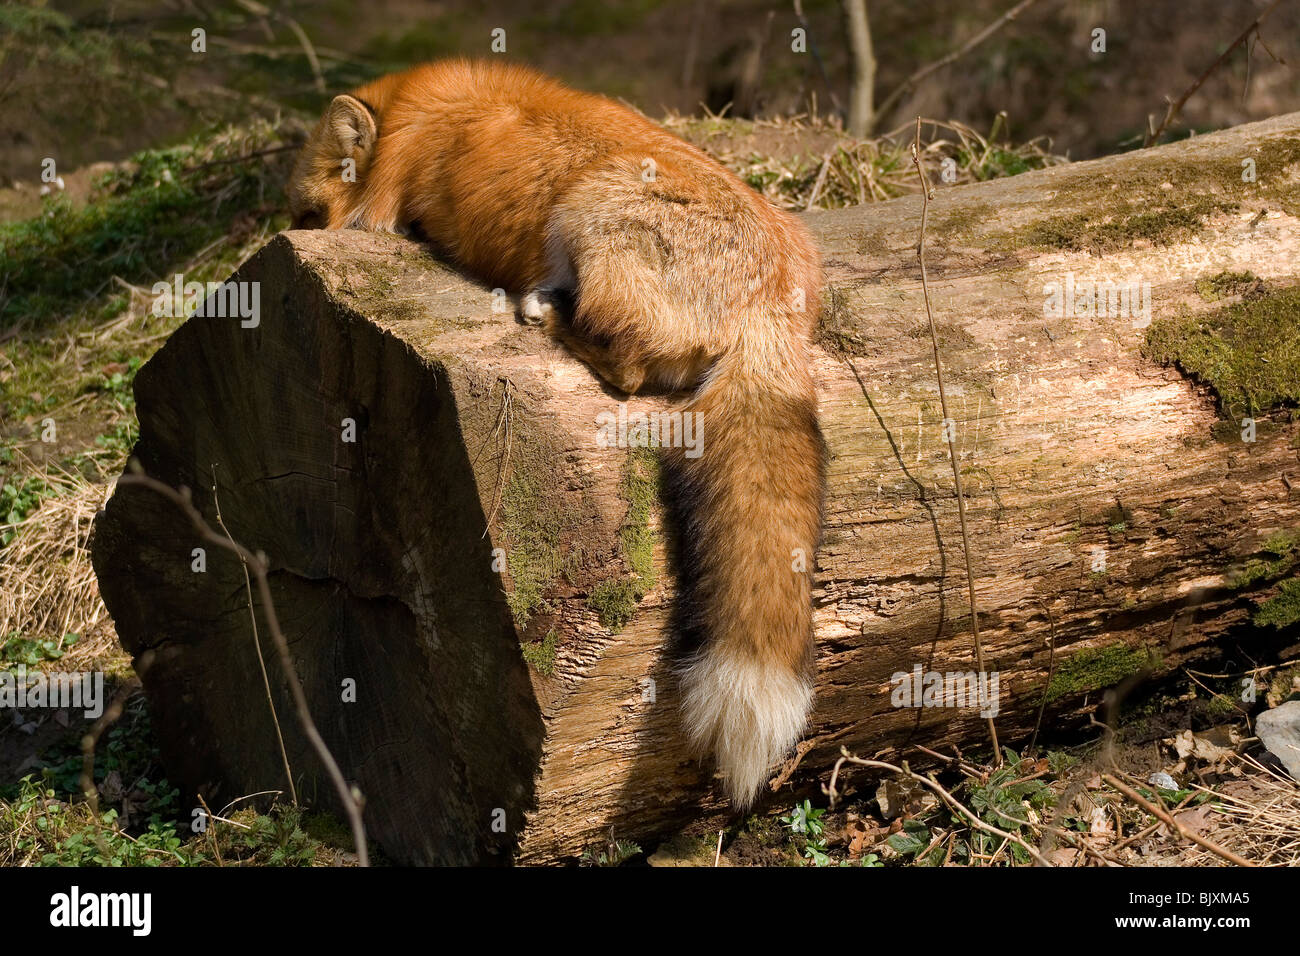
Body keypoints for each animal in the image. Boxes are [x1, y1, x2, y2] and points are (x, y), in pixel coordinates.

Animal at [288, 59, 825, 808]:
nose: (288, 238)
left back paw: (551, 316)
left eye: (308, 214)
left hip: (585, 209)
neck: (413, 119)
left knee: (627, 373)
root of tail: (778, 292)